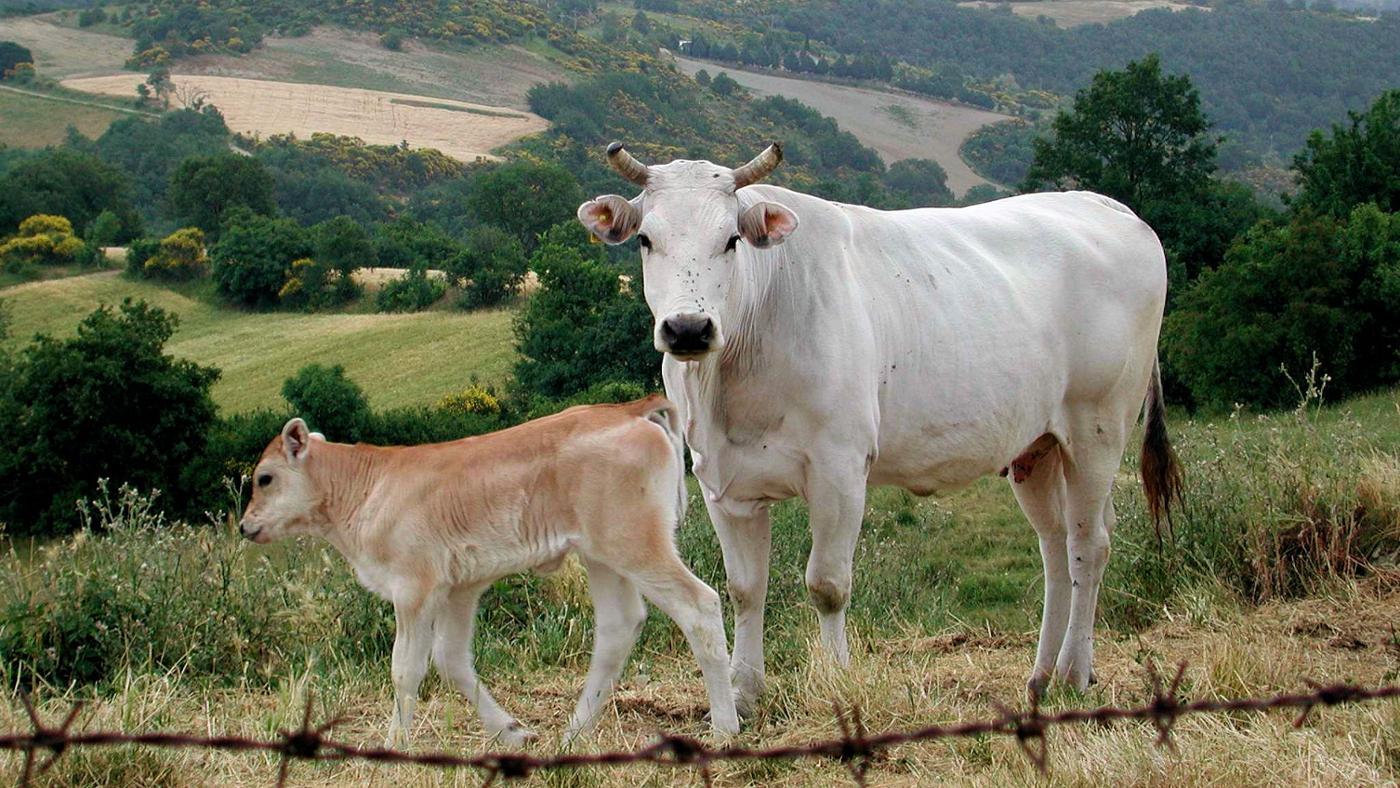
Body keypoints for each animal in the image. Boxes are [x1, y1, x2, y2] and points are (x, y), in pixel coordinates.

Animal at [238, 397, 740, 746]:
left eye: (265, 478)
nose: (244, 526)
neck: (368, 488)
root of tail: (628, 409)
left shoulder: (414, 588)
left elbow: (405, 669)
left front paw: (395, 742)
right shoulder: (460, 589)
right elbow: (451, 660)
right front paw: (512, 732)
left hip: (637, 545)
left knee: (699, 606)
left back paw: (724, 728)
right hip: (602, 556)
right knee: (619, 627)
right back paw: (574, 732)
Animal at [577, 142, 1183, 716]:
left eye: (731, 241)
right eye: (645, 240)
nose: (688, 329)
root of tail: (1104, 204)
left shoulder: (840, 468)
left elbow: (827, 585)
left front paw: (838, 683)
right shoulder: (721, 478)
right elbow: (745, 589)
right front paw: (745, 696)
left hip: (1098, 427)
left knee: (1089, 545)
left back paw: (1075, 673)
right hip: (1037, 445)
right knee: (1056, 549)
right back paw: (1040, 677)